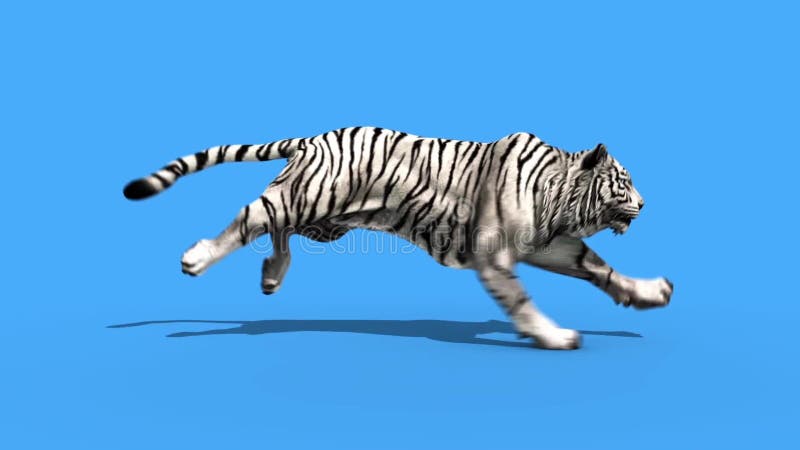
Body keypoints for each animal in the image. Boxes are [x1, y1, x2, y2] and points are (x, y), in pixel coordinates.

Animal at [123, 126, 673, 350]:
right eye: (624, 182)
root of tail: (315, 137)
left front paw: (648, 292)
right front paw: (554, 336)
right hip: (307, 197)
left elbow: (598, 267)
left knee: (276, 230)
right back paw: (198, 257)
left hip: (322, 220)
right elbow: (522, 302)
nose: (647, 203)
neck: (555, 199)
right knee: (251, 215)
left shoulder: (551, 244)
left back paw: (272, 276)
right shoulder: (494, 255)